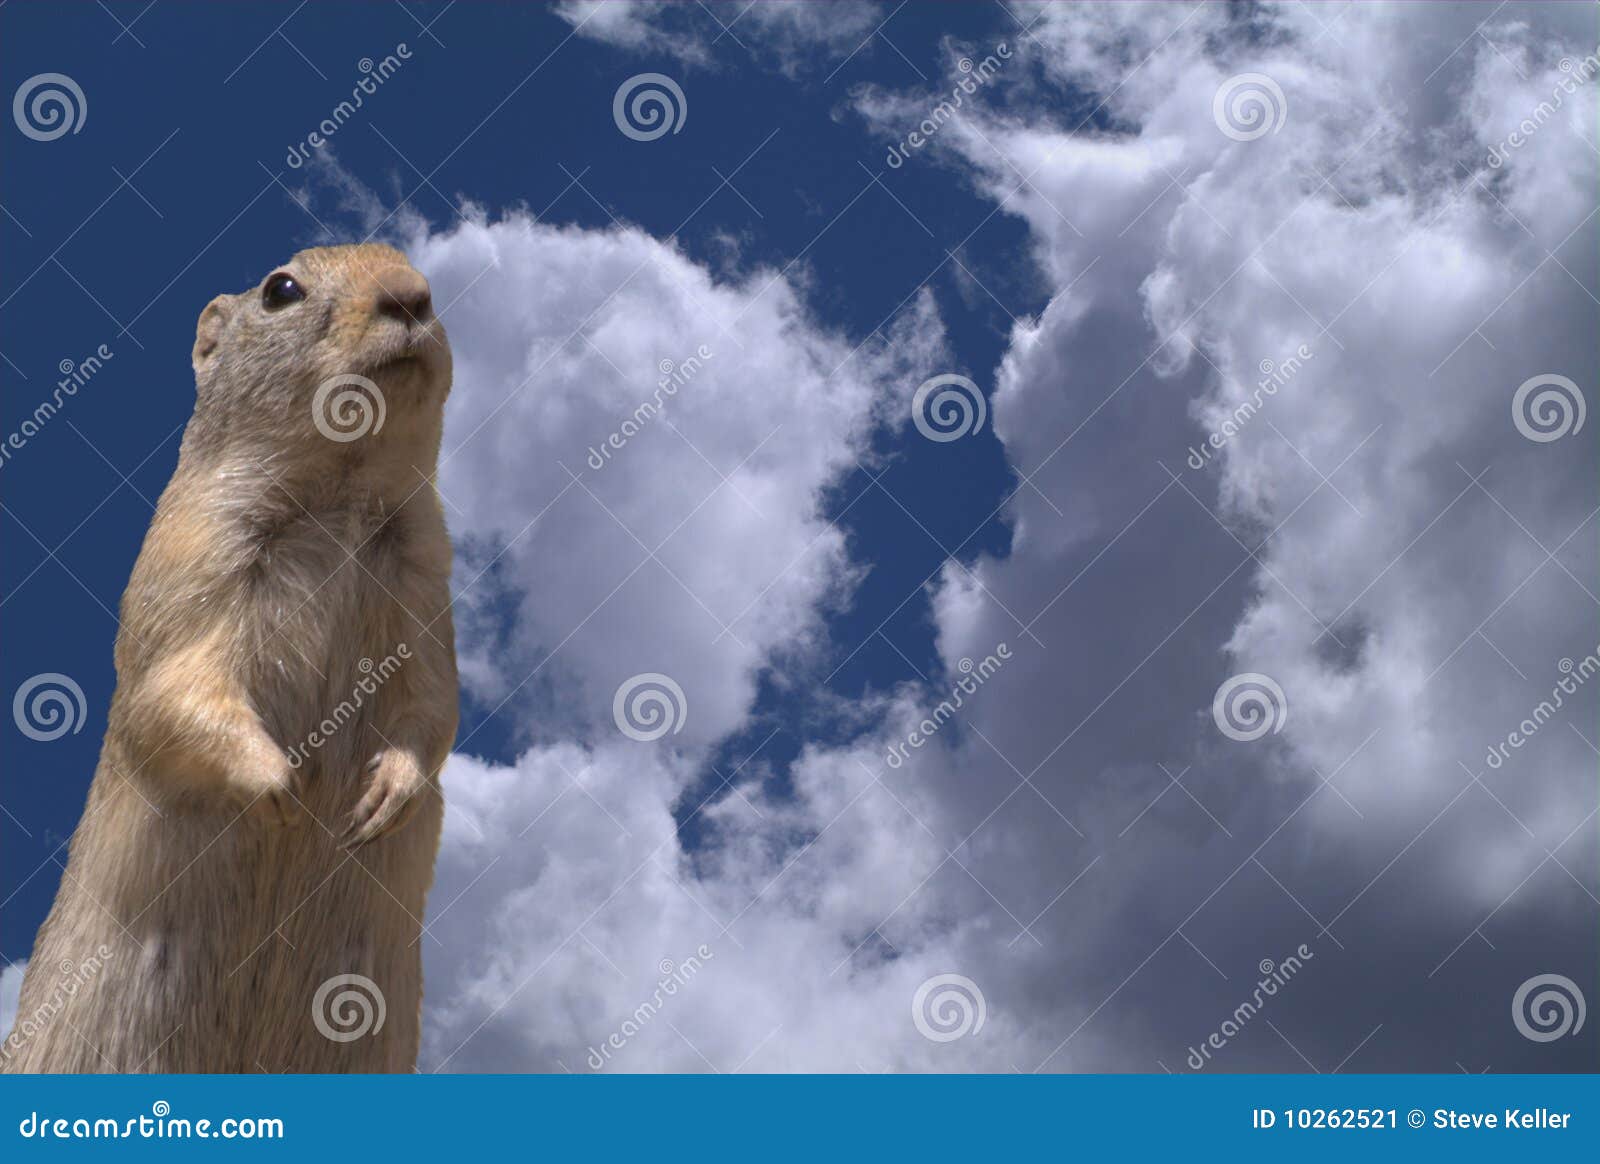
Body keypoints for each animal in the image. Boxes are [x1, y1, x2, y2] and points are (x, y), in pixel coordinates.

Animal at [2, 244, 458, 1073]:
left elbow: (436, 702)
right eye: (281, 289)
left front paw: (381, 799)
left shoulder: (427, 583)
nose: (410, 296)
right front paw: (282, 791)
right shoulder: (191, 553)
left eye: (419, 274)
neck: (340, 497)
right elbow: (176, 685)